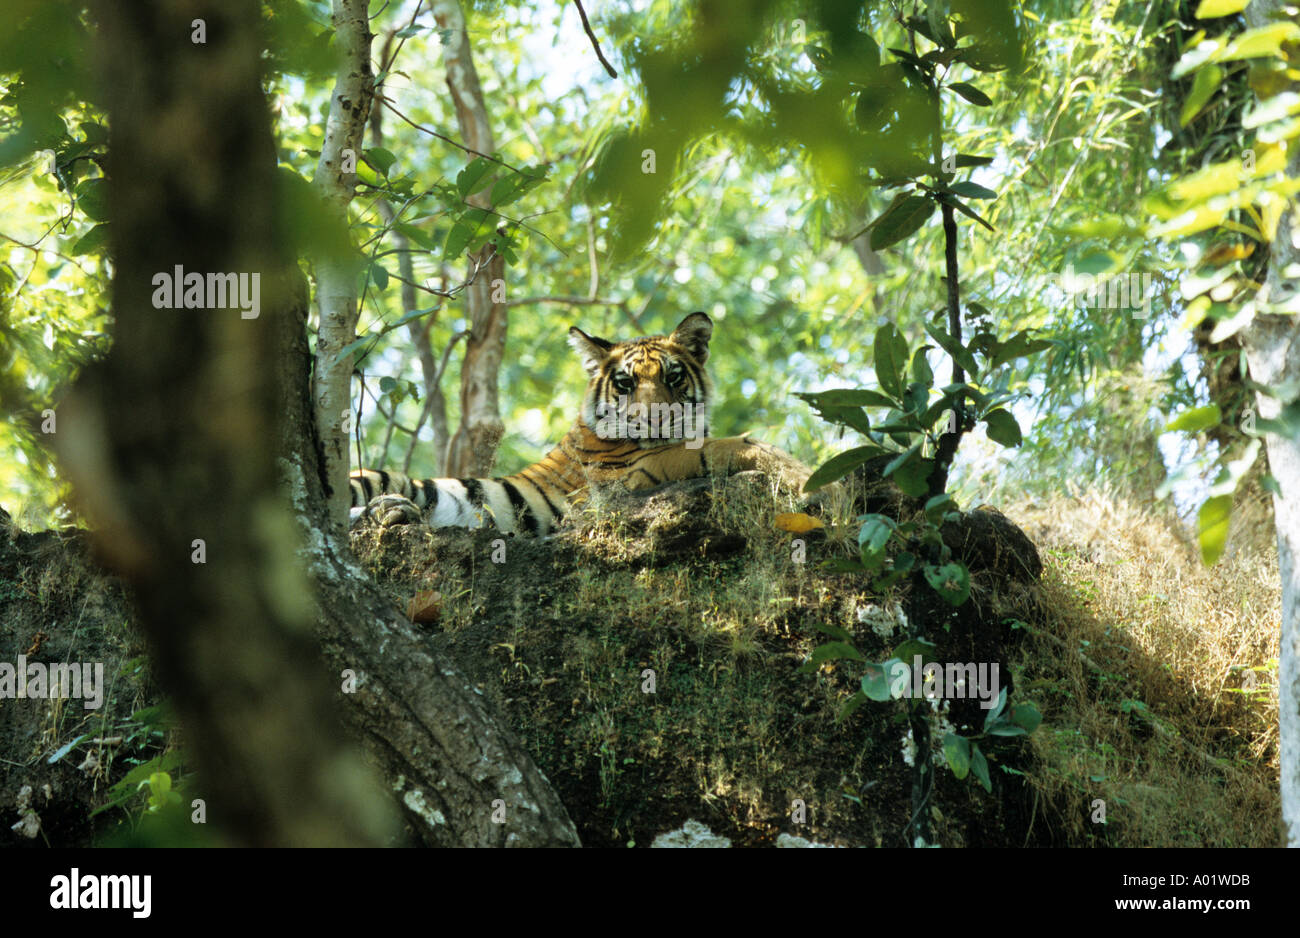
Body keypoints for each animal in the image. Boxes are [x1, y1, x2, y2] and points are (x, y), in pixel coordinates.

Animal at [349, 311, 813, 535]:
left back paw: (396, 511)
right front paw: (803, 475)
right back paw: (385, 509)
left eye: (673, 377)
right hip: (374, 476)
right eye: (625, 383)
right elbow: (733, 445)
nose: (653, 418)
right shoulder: (627, 476)